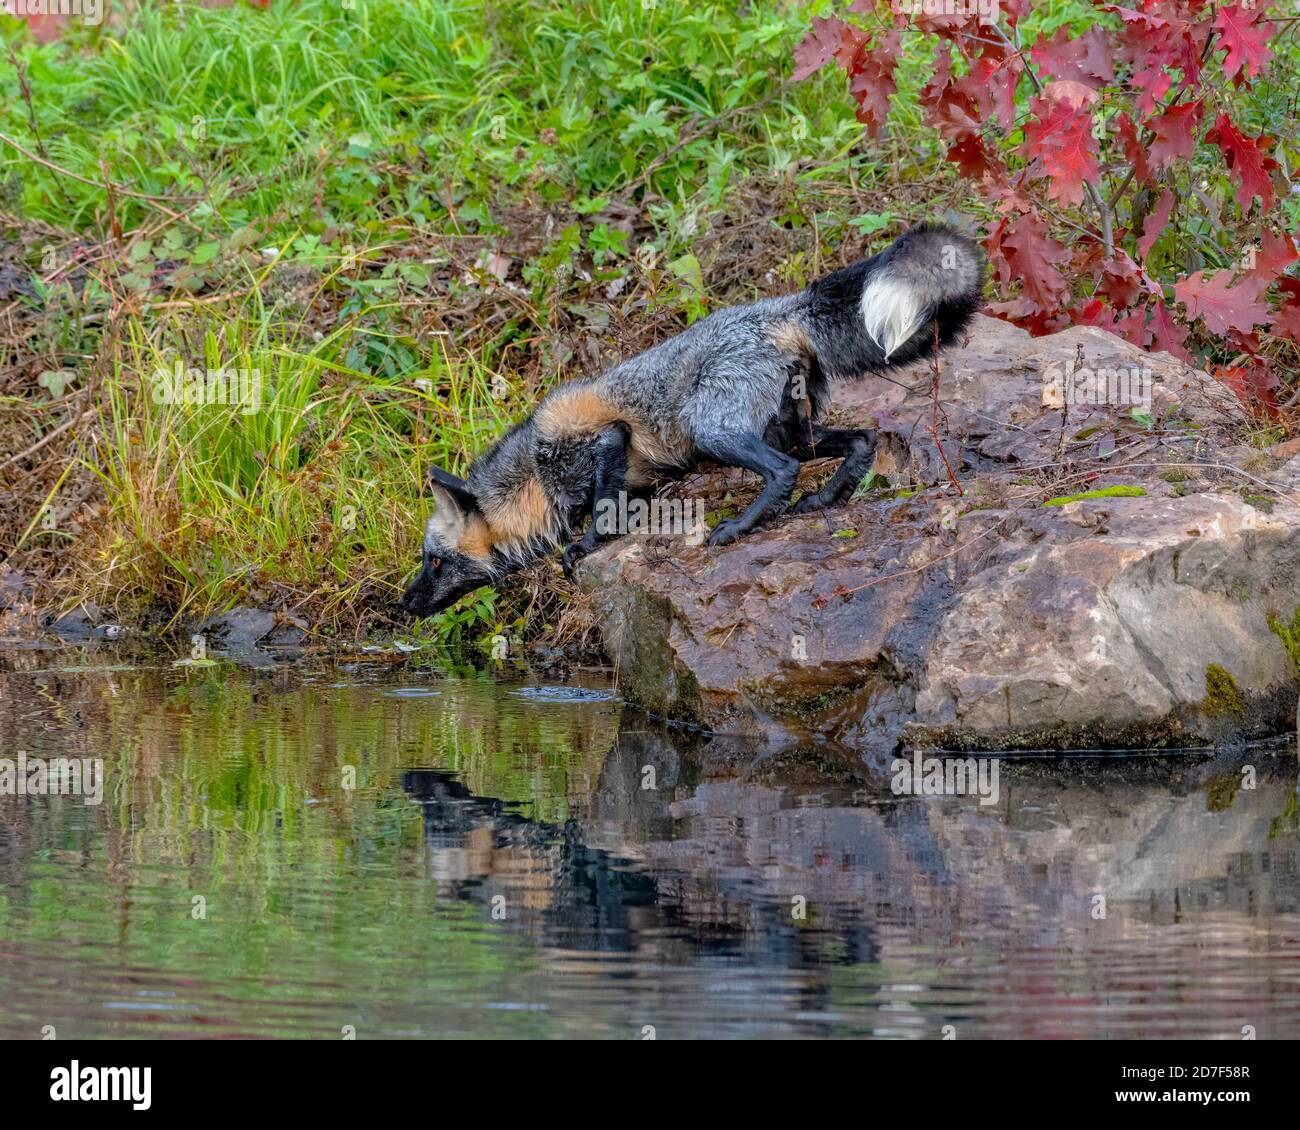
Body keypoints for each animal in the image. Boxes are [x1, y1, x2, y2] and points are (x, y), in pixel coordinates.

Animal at [398, 222, 985, 619]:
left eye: (433, 562)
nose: (402, 606)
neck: (532, 482)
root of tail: (781, 307)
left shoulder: (601, 440)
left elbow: (603, 506)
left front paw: (586, 545)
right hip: (795, 430)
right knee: (861, 440)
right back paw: (824, 500)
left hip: (714, 428)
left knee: (782, 470)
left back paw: (740, 527)